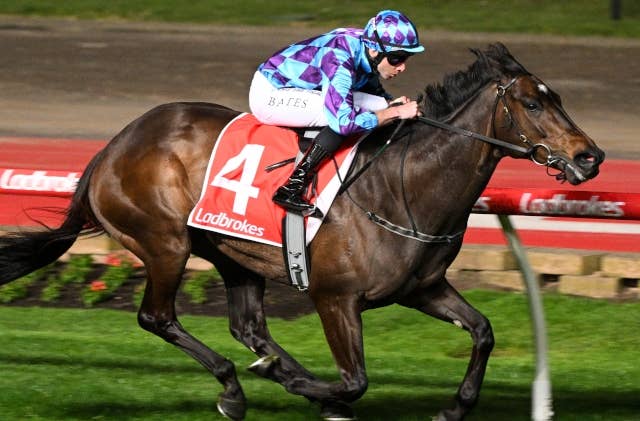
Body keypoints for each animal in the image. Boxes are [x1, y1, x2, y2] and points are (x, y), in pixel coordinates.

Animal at [0, 43, 604, 420]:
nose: (590, 157)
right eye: (532, 102)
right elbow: (357, 379)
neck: (403, 186)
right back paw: (240, 386)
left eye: (560, 98)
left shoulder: (422, 288)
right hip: (165, 243)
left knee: (249, 328)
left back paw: (276, 375)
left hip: (233, 253)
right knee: (159, 317)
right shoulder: (335, 298)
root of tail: (113, 146)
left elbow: (483, 332)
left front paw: (454, 405)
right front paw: (313, 390)